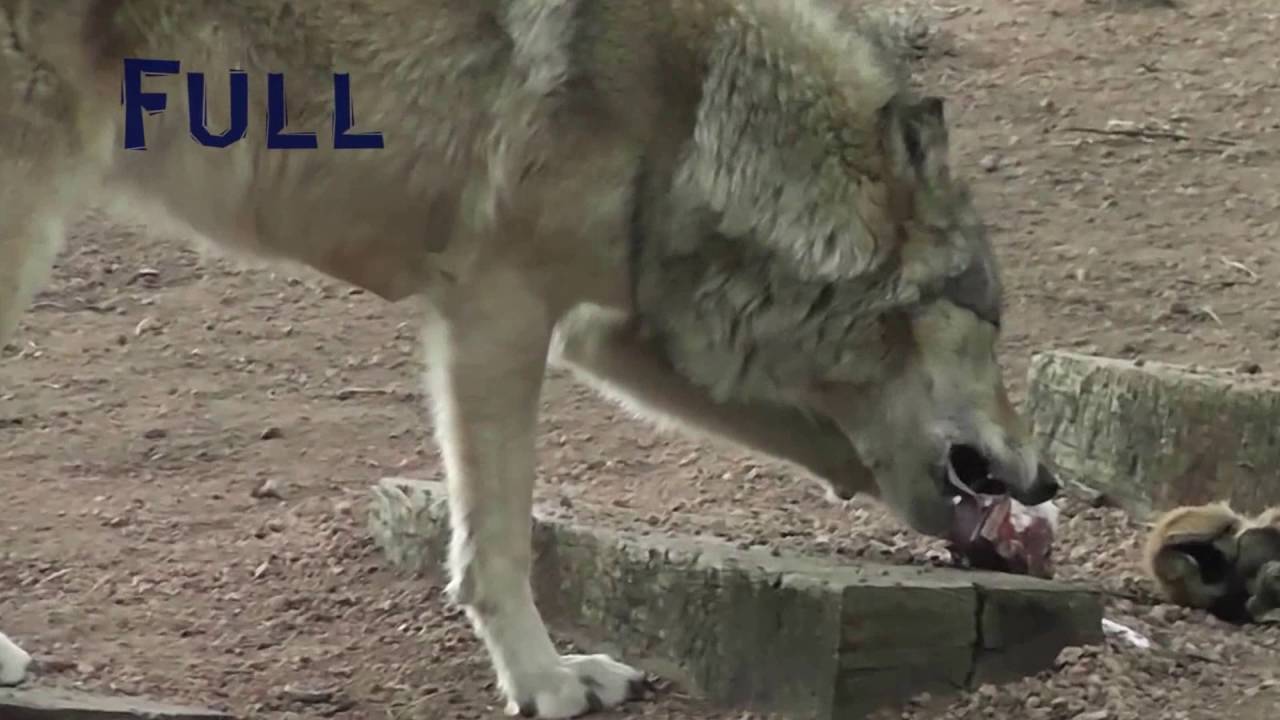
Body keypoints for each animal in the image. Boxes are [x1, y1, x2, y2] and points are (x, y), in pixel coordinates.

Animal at [0, 0, 1059, 716]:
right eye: (996, 325)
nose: (1049, 478)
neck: (696, 106)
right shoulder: (497, 312)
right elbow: (500, 541)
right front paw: (547, 682)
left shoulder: (609, 323)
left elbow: (823, 438)